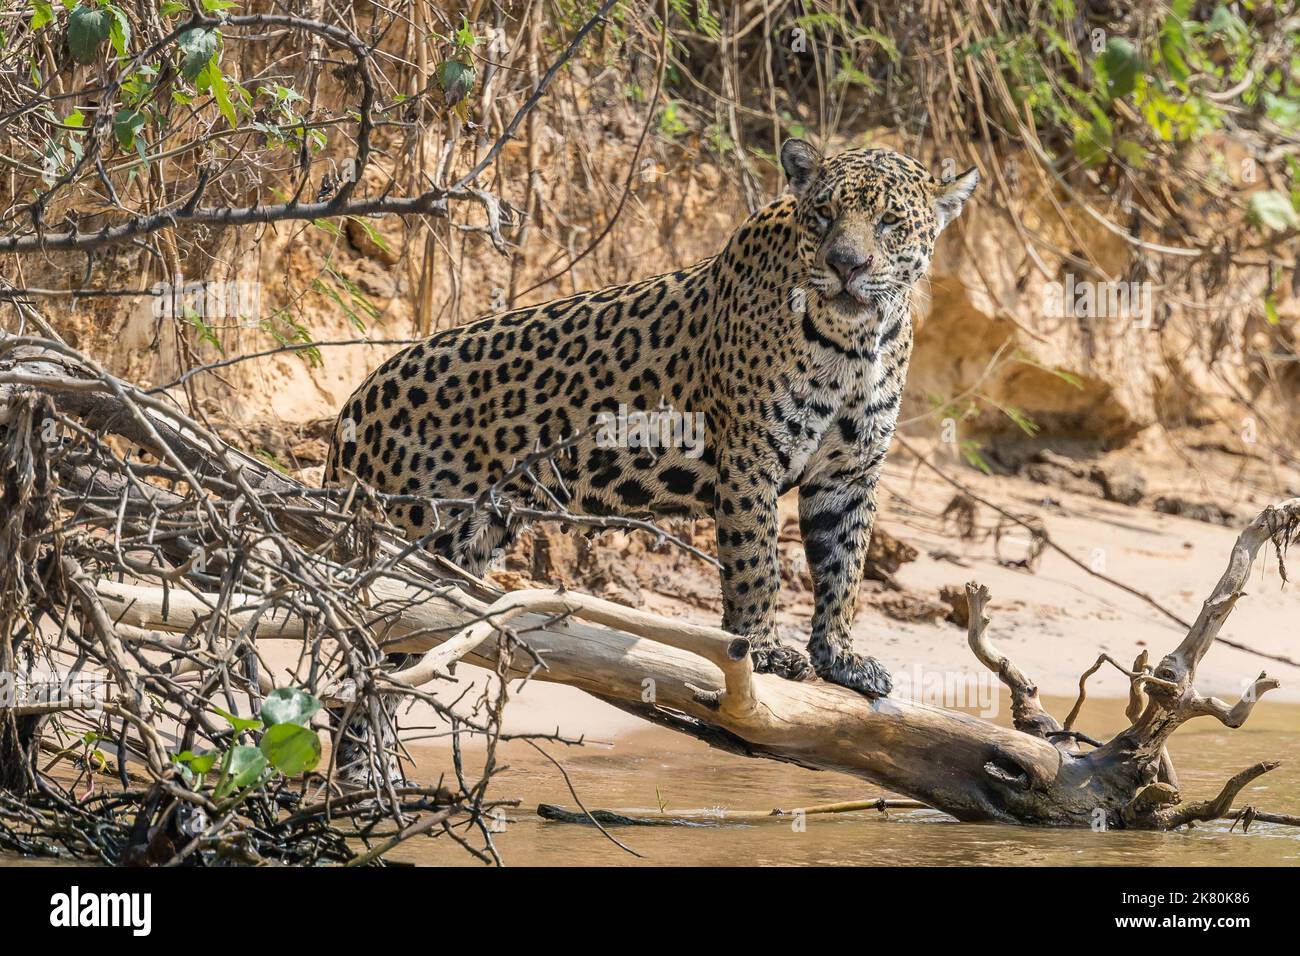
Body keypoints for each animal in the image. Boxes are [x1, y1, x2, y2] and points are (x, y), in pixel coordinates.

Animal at [326, 139, 977, 700]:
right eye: (823, 215)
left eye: (889, 222)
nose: (846, 265)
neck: (856, 342)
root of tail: (352, 407)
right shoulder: (751, 458)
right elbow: (758, 563)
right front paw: (764, 649)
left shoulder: (848, 474)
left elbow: (846, 568)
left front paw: (841, 658)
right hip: (407, 536)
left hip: (459, 550)